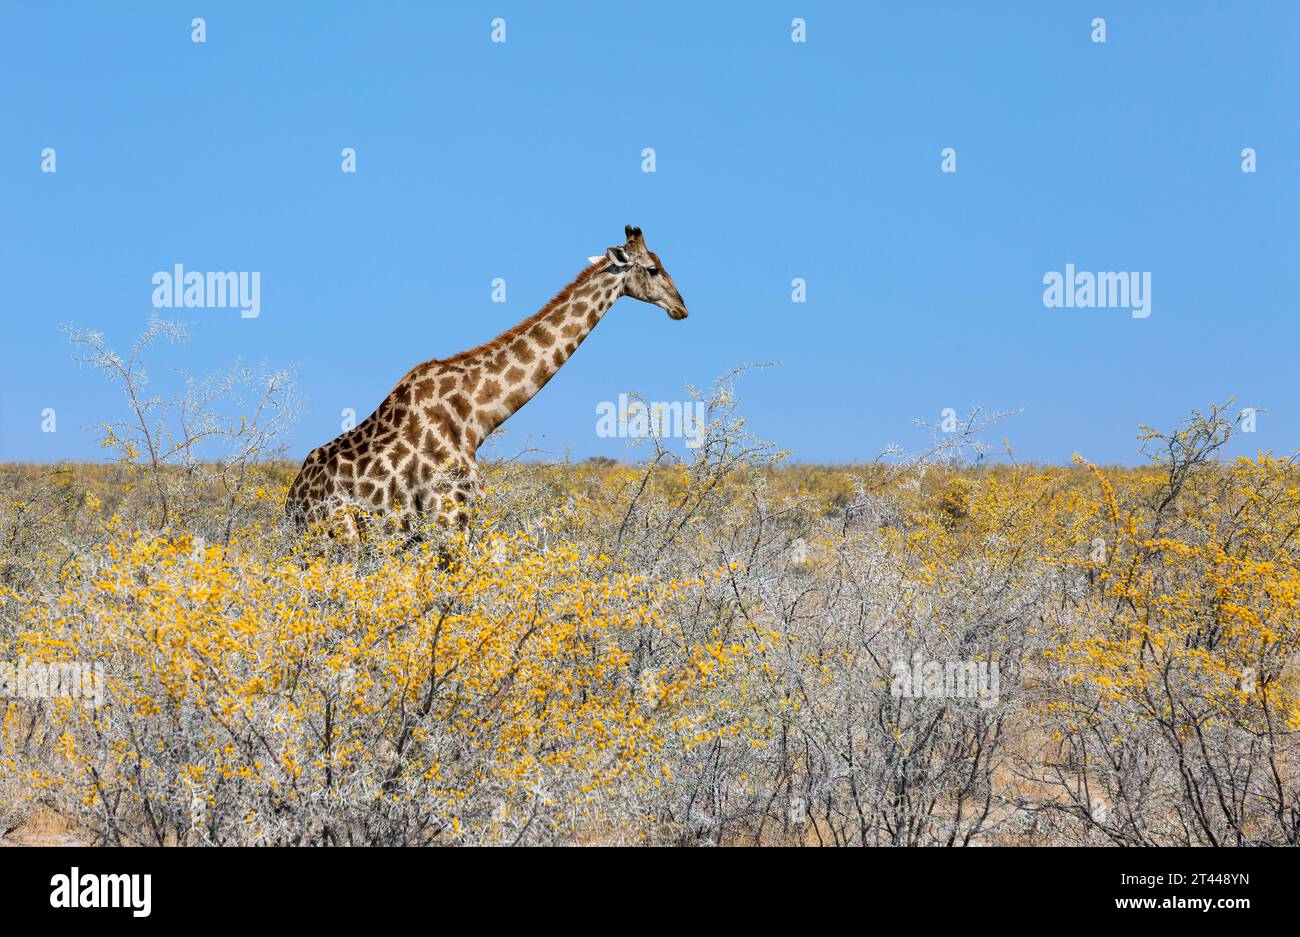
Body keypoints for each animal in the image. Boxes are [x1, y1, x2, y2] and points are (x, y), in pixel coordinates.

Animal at [285, 225, 689, 533]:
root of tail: (293, 503)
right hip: (338, 536)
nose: (681, 306)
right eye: (653, 268)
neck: (474, 416)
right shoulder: (451, 516)